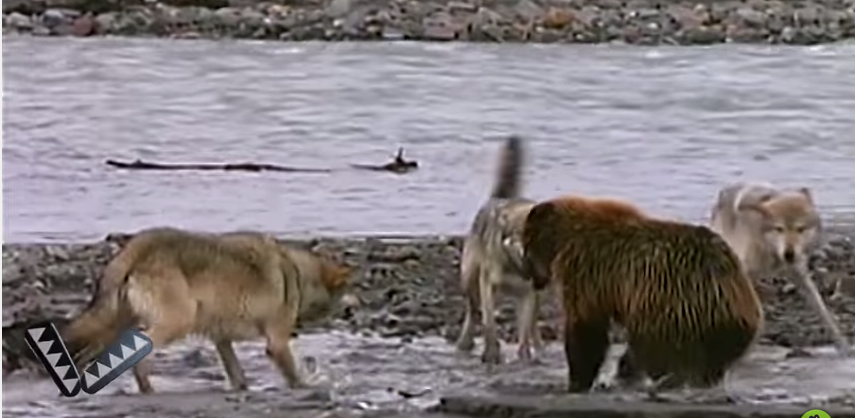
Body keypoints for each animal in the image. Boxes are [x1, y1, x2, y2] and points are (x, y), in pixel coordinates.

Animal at [62, 227, 355, 394]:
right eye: (346, 293)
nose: (351, 313)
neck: (297, 274)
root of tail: (135, 249)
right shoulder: (277, 342)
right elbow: (293, 377)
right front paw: (306, 388)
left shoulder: (222, 340)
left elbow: (238, 376)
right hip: (177, 321)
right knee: (138, 357)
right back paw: (147, 389)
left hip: (113, 324)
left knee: (86, 355)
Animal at [455, 135, 545, 365]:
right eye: (524, 235)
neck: (515, 266)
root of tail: (497, 199)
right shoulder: (487, 286)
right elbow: (489, 326)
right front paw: (491, 355)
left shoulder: (528, 295)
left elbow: (524, 334)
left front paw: (524, 358)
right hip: (470, 281)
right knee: (473, 313)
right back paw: (465, 343)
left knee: (533, 325)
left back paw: (541, 349)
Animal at [710, 182, 851, 357]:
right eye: (779, 229)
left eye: (800, 229)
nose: (789, 253)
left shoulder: (800, 275)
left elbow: (824, 312)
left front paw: (843, 346)